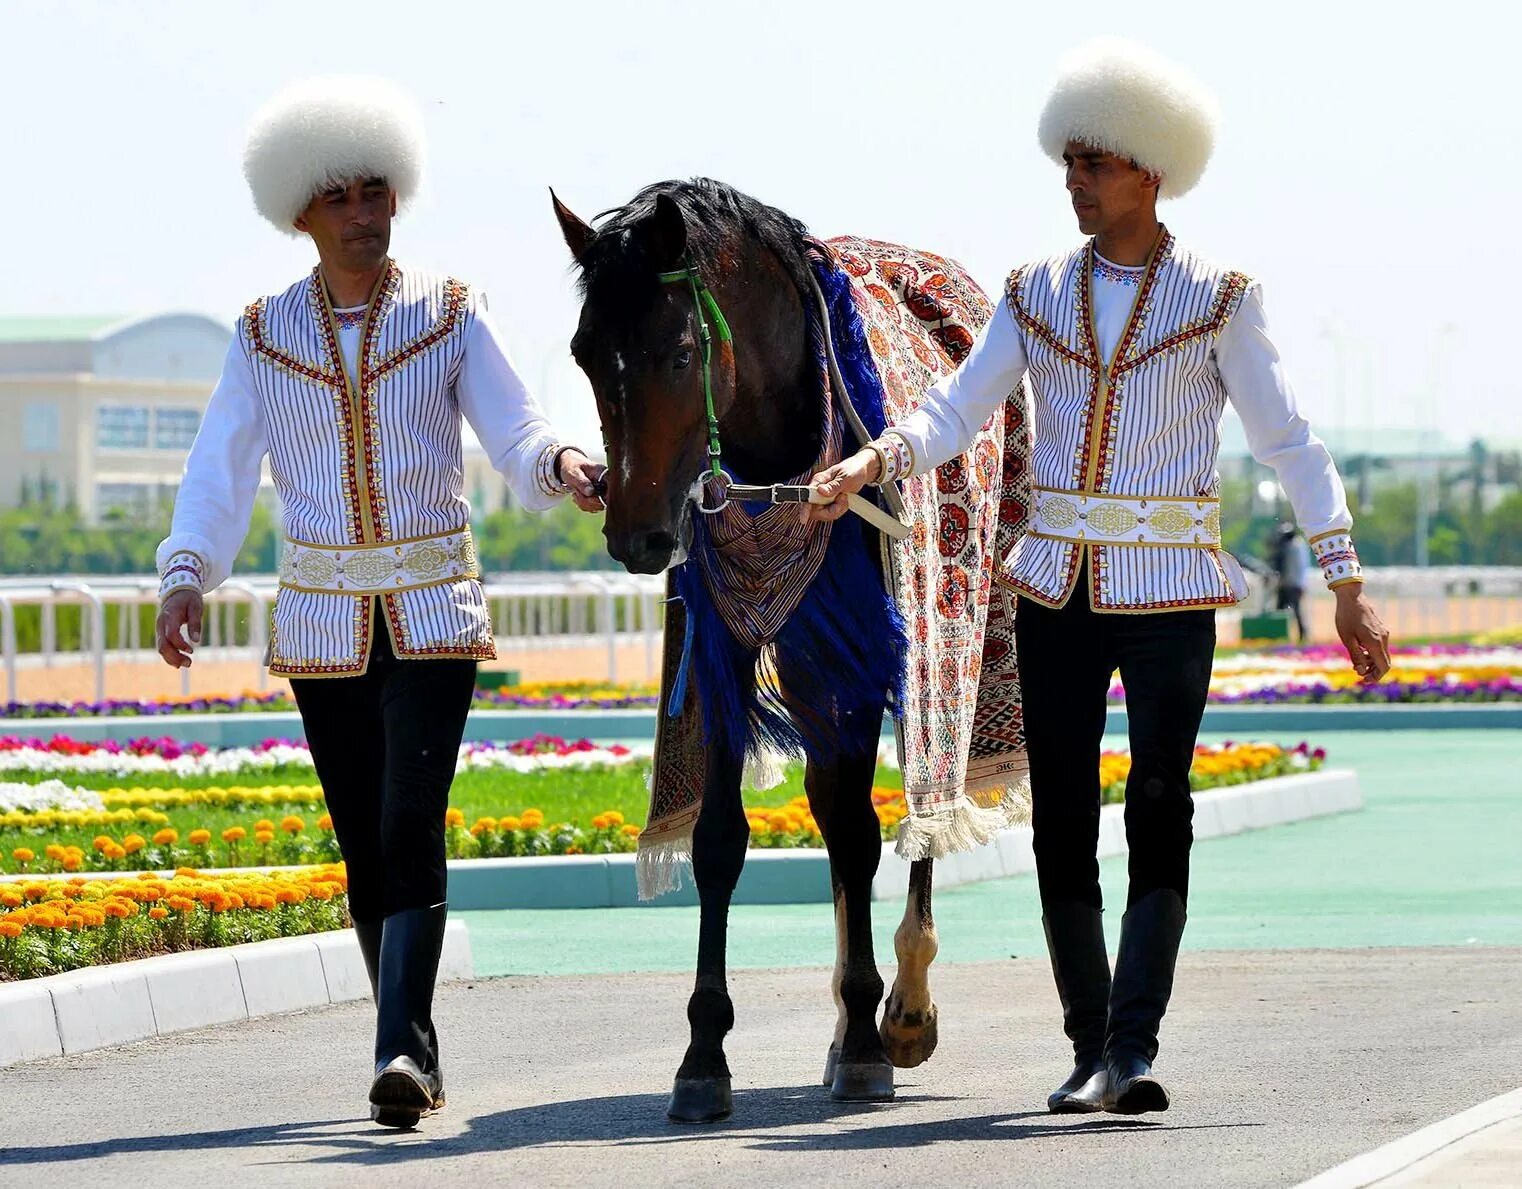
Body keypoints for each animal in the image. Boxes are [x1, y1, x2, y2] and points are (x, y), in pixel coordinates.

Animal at [554, 178, 943, 1120]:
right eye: (586, 351)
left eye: (680, 346)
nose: (637, 534)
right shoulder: (730, 645)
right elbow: (722, 839)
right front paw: (703, 1053)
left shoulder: (852, 644)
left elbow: (863, 831)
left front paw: (874, 1036)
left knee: (920, 793)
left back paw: (903, 1004)